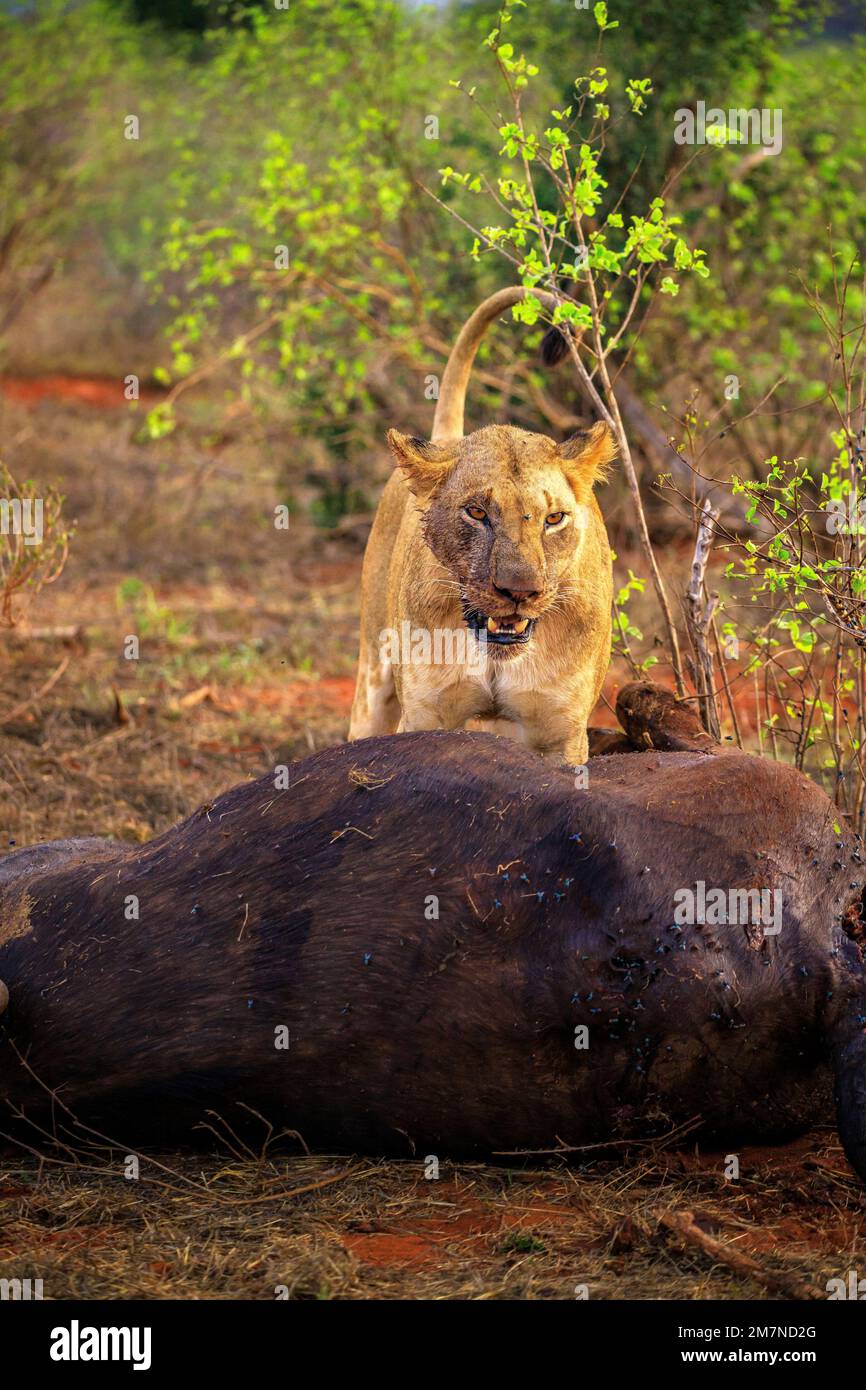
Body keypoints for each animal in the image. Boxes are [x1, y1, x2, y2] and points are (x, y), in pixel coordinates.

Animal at [348, 286, 617, 765]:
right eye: (476, 513)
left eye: (553, 518)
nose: (520, 592)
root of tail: (447, 438)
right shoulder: (425, 715)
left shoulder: (562, 733)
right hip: (372, 679)